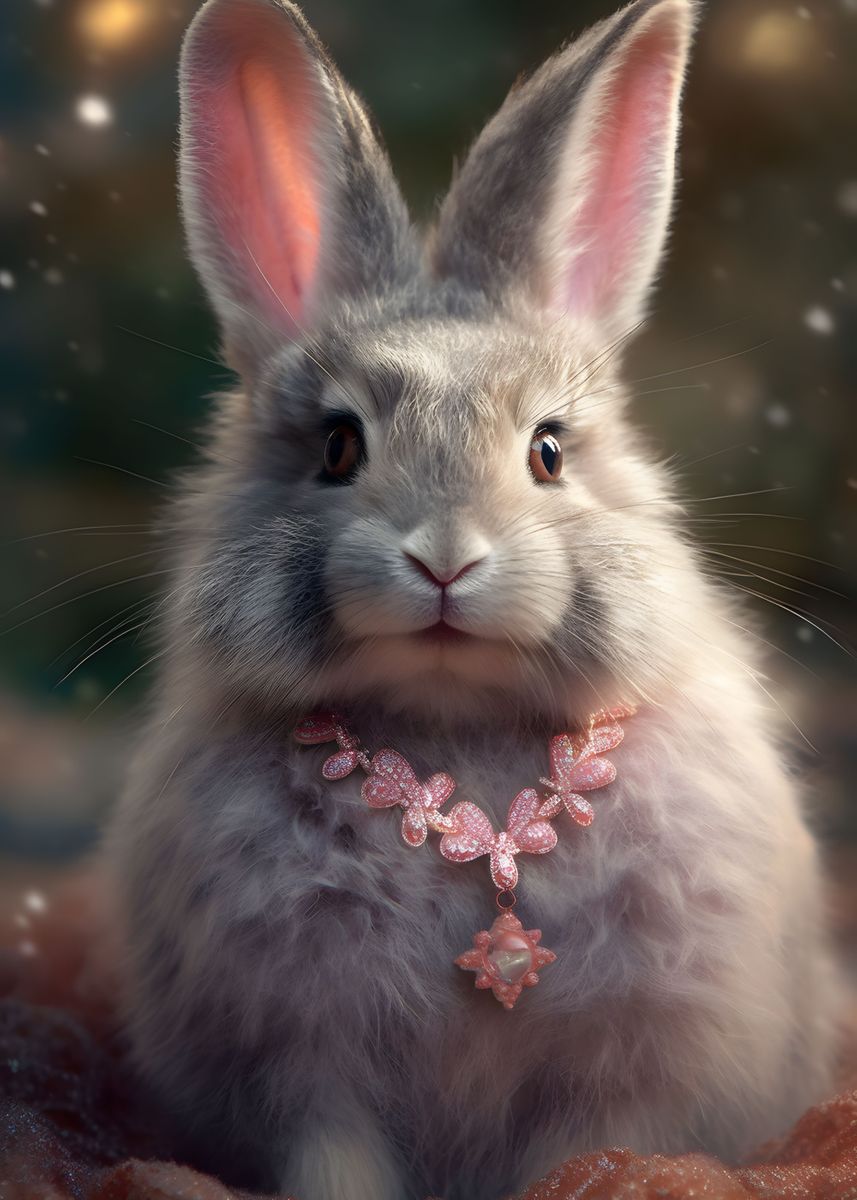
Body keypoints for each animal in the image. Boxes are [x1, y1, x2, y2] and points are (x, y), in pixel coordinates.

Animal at [105, 0, 841, 1197]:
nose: (444, 559)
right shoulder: (304, 1069)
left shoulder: (630, 1066)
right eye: (338, 445)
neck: (455, 722)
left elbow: (594, 1157)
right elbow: (335, 1164)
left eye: (547, 450)